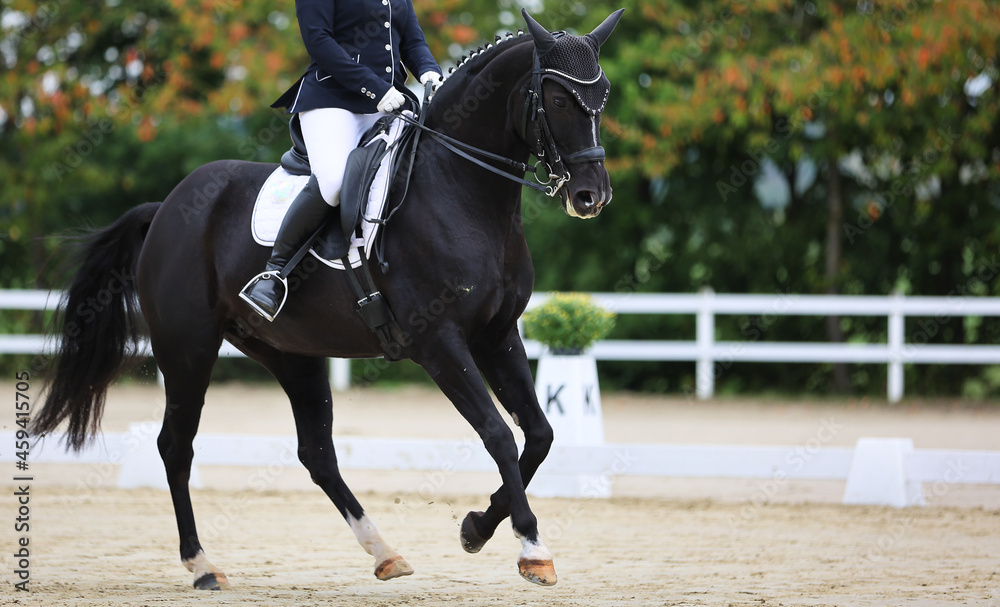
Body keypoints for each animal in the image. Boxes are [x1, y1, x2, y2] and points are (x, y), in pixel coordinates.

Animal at [33, 9, 623, 590]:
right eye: (557, 99)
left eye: (602, 95)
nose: (591, 196)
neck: (461, 190)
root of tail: (167, 208)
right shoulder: (439, 343)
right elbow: (499, 435)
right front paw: (529, 547)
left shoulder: (496, 335)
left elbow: (540, 434)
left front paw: (478, 526)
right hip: (187, 349)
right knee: (175, 446)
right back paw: (202, 566)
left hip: (291, 354)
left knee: (316, 453)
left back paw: (384, 553)